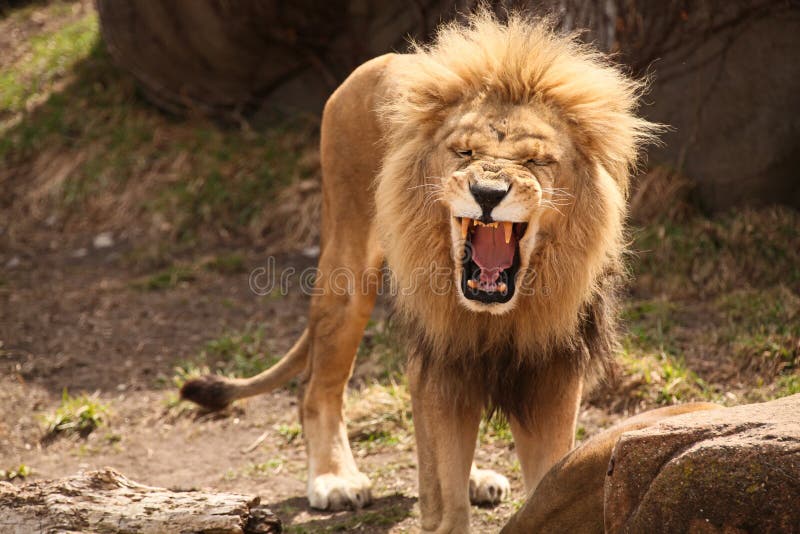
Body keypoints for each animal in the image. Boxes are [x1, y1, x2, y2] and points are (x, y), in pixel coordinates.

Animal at [181, 11, 660, 532]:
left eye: (536, 160)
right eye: (464, 153)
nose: (488, 193)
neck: (499, 311)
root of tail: (380, 63)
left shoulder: (551, 370)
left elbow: (550, 474)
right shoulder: (442, 354)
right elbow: (445, 489)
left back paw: (475, 477)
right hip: (349, 266)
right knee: (317, 386)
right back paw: (334, 479)